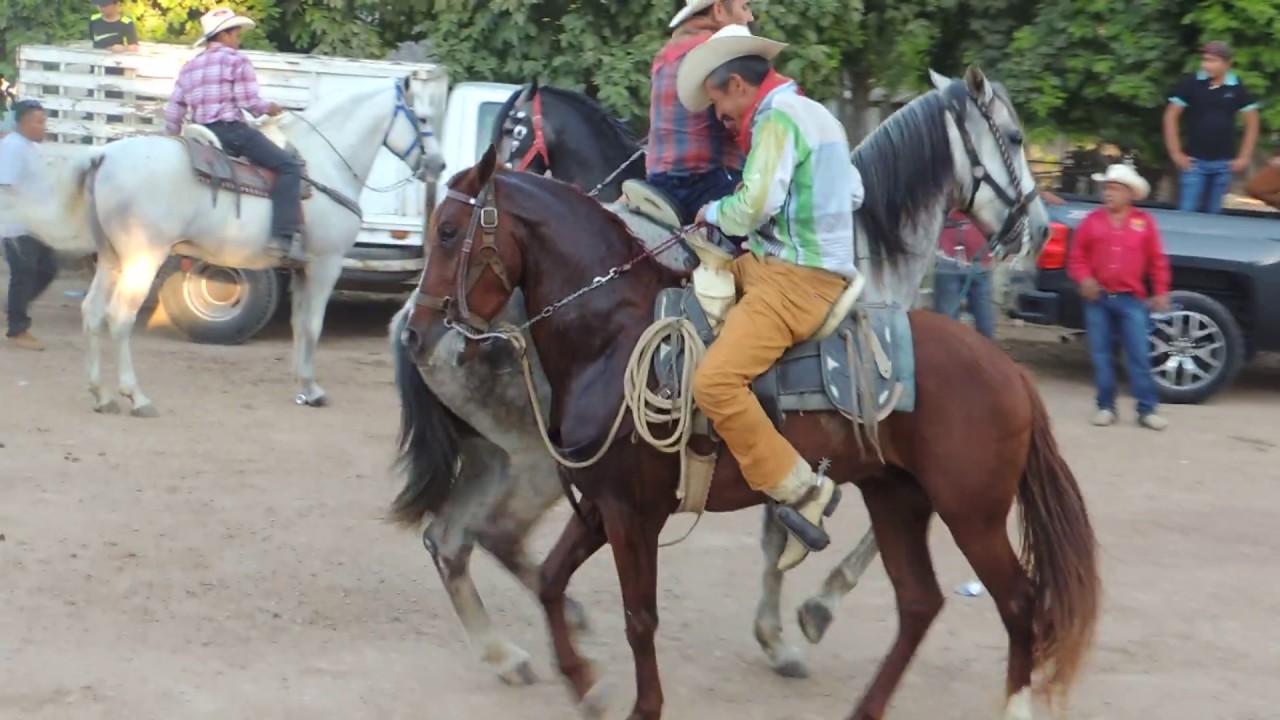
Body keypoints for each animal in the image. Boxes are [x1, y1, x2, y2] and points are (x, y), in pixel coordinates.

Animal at [6, 76, 444, 415]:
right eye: (422, 118)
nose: (438, 165)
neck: (324, 166)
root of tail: (104, 155)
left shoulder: (302, 268)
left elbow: (299, 325)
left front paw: (302, 386)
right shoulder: (325, 264)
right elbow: (313, 326)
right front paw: (313, 390)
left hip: (113, 259)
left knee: (93, 314)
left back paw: (100, 394)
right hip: (143, 258)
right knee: (119, 318)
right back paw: (137, 397)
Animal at [402, 68, 1093, 720]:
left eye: (450, 230)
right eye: (1014, 137)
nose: (1036, 230)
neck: (614, 331)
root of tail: (1007, 372)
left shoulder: (628, 510)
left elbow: (642, 613)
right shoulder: (606, 504)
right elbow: (558, 581)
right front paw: (591, 684)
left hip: (963, 508)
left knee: (1015, 600)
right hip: (901, 498)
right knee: (926, 602)